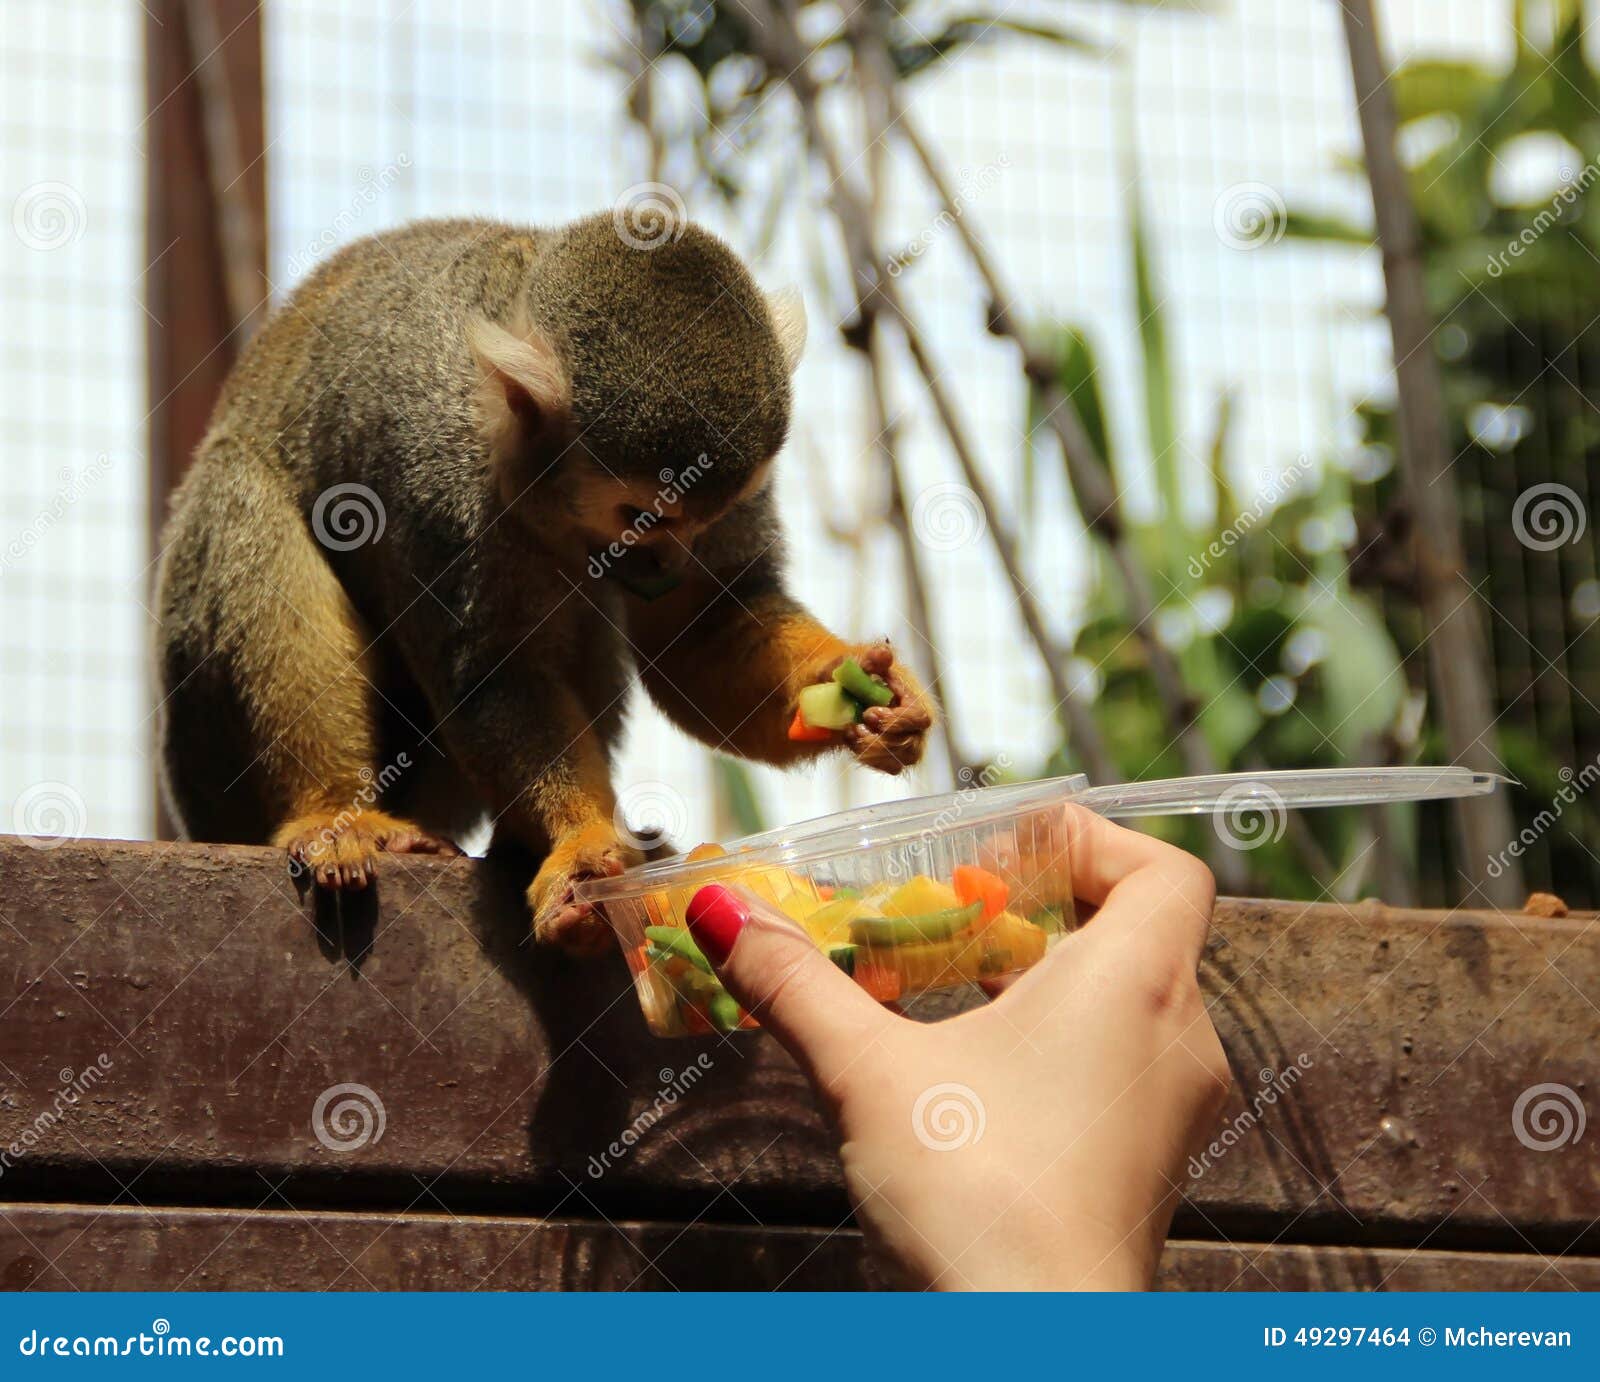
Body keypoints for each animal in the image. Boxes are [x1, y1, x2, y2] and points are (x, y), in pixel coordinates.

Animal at [153, 213, 934, 952]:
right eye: (642, 517)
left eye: (703, 518)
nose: (664, 566)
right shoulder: (442, 487)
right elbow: (495, 678)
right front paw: (583, 846)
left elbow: (701, 628)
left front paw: (859, 690)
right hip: (204, 753)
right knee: (237, 492)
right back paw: (333, 815)